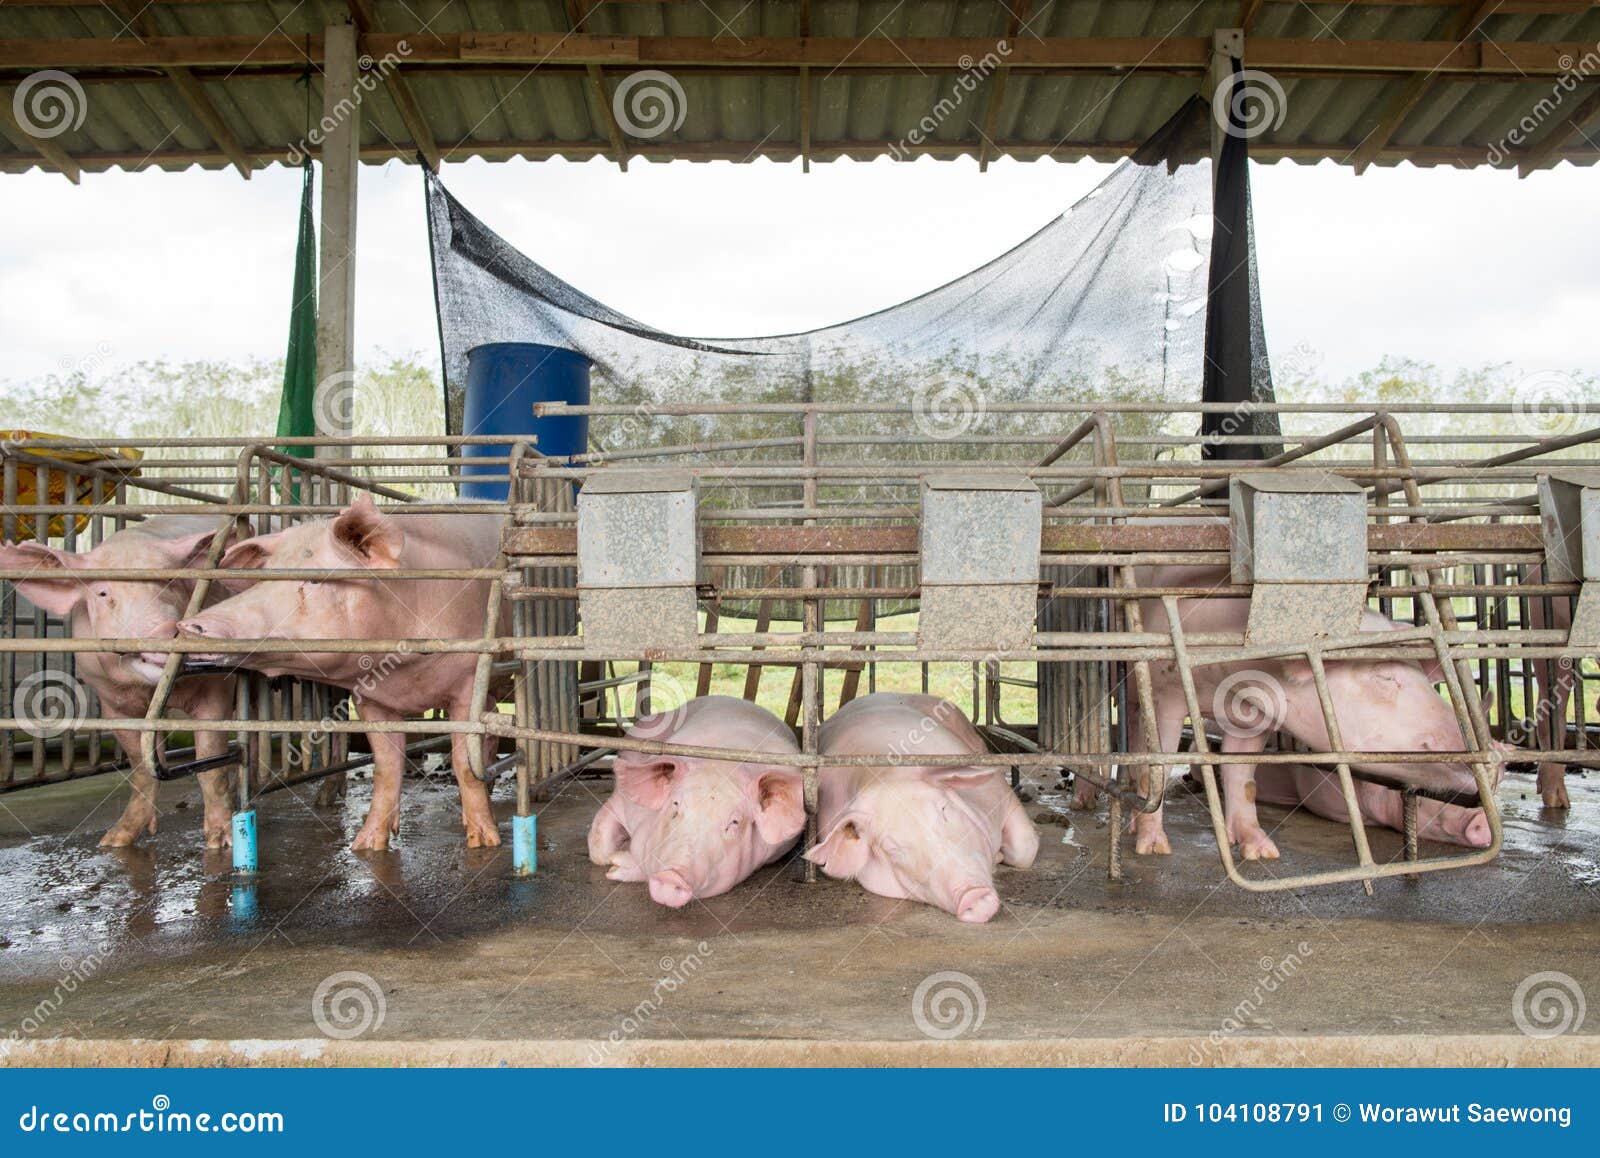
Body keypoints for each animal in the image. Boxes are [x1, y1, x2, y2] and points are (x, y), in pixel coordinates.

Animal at [1, 515, 248, 848]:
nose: (164, 629)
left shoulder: (217, 686)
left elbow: (210, 763)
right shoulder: (110, 700)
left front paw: (222, 842)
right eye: (103, 594)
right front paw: (114, 841)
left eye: (172, 581)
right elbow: (142, 768)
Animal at [175, 493, 508, 851]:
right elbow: (386, 766)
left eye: (314, 580)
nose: (189, 625)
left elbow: (464, 762)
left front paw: (484, 842)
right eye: (263, 580)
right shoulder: (371, 700)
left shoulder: (468, 681)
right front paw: (366, 845)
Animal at [587, 695, 804, 907]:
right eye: (675, 805)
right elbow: (599, 849)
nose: (671, 876)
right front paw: (613, 863)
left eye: (734, 822)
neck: (721, 762)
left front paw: (618, 864)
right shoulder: (622, 801)